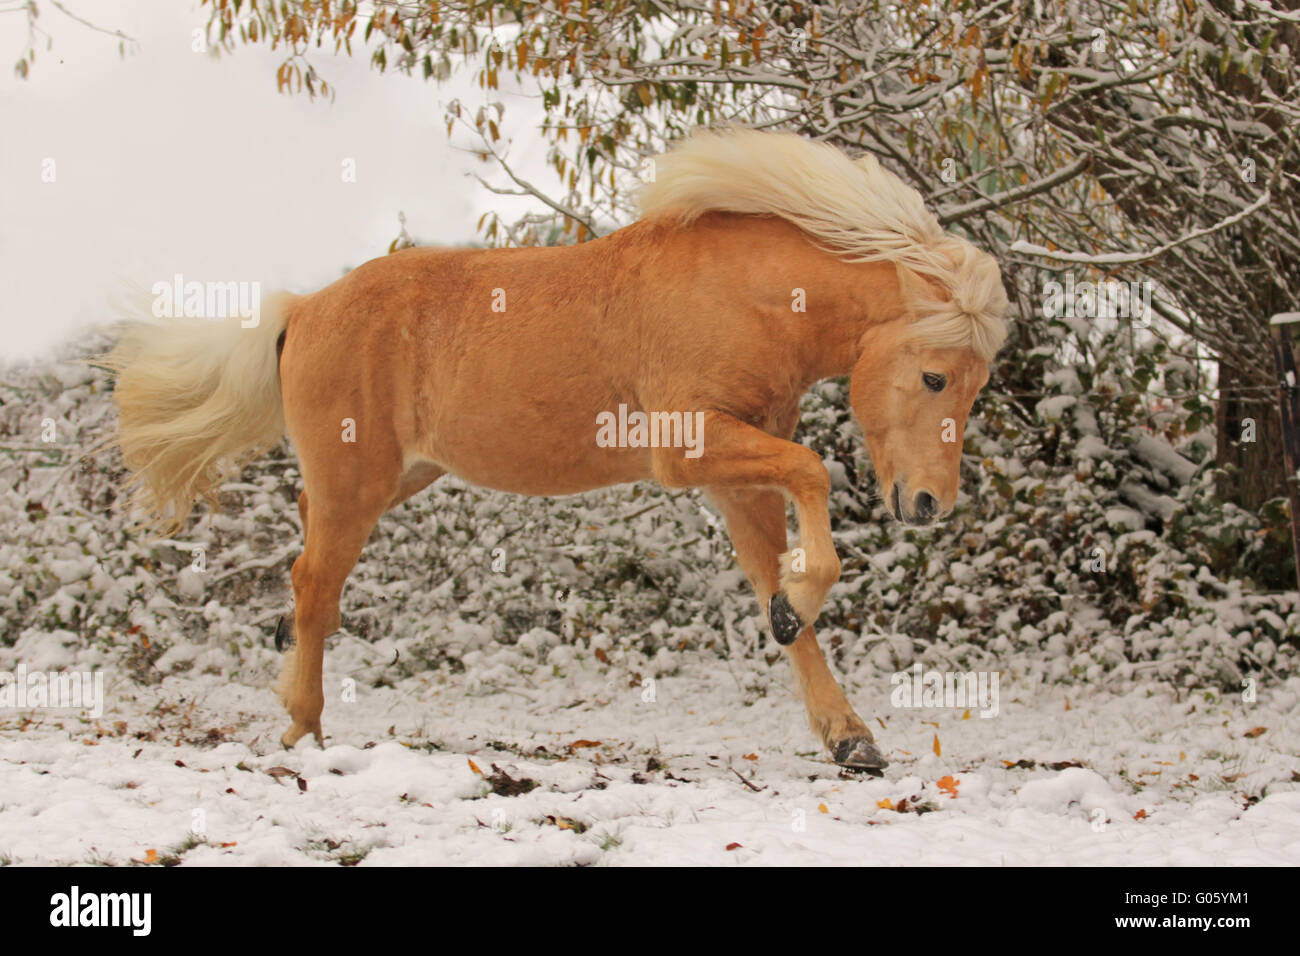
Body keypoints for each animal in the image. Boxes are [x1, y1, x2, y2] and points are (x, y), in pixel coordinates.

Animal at [103, 129, 1008, 771]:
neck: (746, 297)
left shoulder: (737, 476)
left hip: (391, 480)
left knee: (306, 571)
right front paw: (805, 609)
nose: (928, 503)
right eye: (934, 377)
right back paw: (303, 730)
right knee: (313, 589)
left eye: (973, 388)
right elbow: (814, 478)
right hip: (352, 486)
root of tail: (303, 308)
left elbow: (776, 591)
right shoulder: (692, 451)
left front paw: (846, 730)